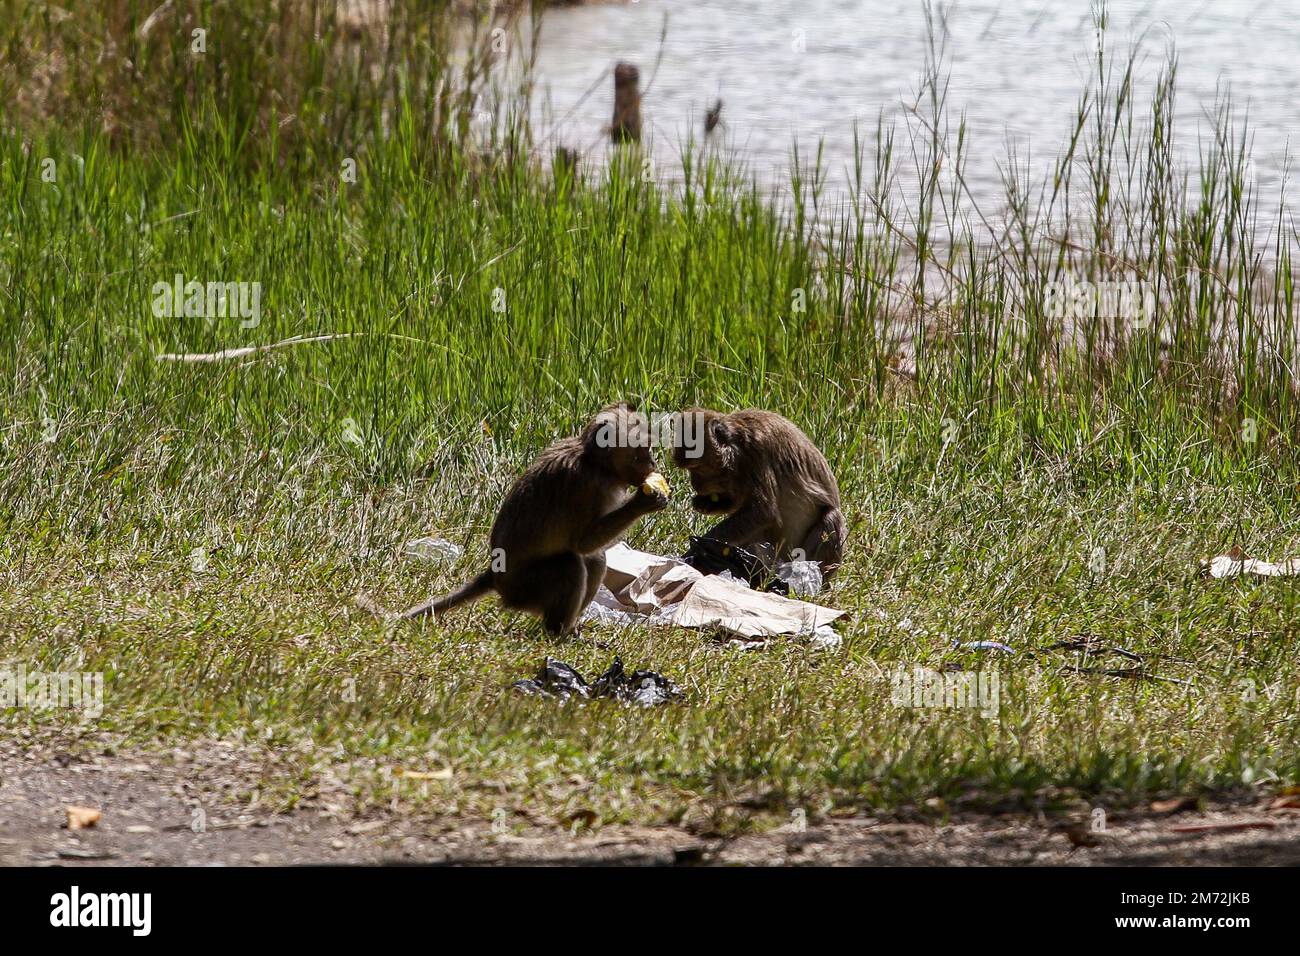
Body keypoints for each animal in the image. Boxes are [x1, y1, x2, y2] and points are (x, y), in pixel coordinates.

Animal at [397, 404, 668, 635]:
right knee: (570, 565)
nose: (653, 463)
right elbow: (583, 542)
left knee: (593, 560)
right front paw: (642, 502)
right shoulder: (588, 487)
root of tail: (495, 576)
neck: (595, 462)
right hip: (523, 588)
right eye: (641, 452)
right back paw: (557, 633)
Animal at [671, 408, 846, 583]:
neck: (738, 441)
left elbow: (762, 513)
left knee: (831, 518)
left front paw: (693, 551)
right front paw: (705, 504)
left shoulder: (757, 455)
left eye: (697, 468)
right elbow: (738, 502)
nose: (694, 483)